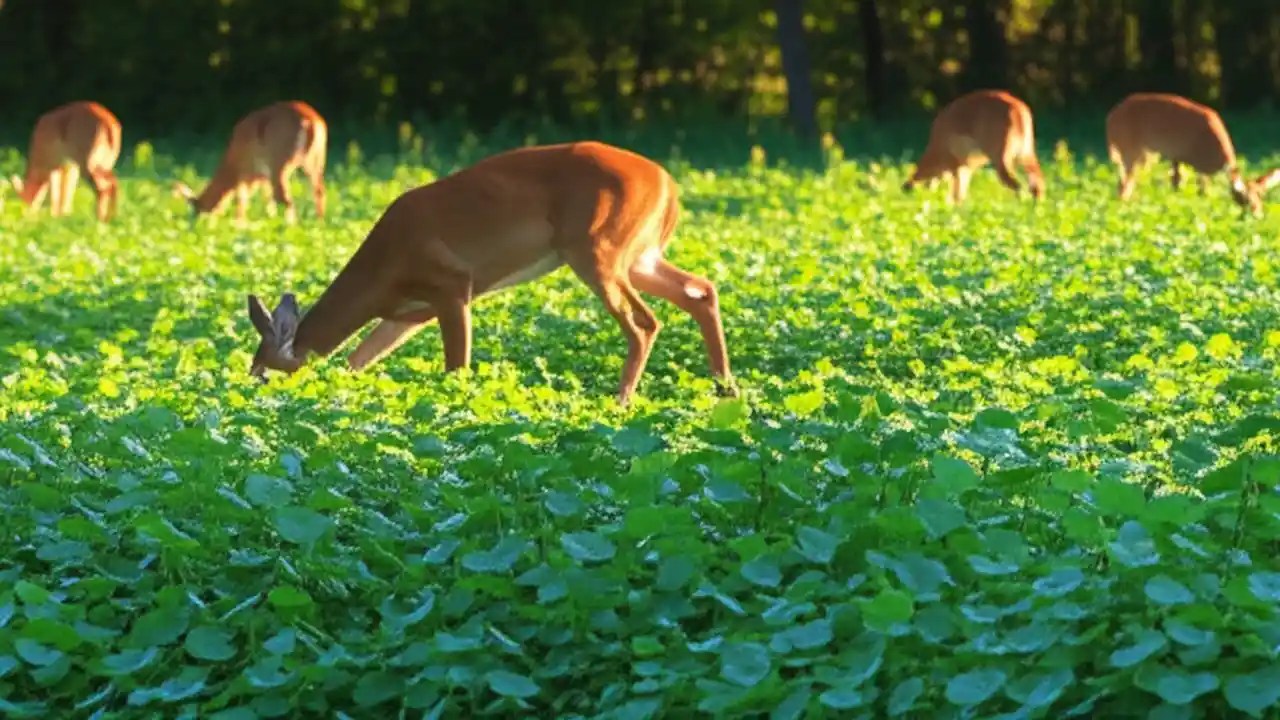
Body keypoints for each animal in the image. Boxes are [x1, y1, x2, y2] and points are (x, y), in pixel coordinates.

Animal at [173, 100, 327, 224]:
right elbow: (266, 201)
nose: (196, 225)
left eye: (196, 212)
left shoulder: (246, 172)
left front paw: (240, 224)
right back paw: (319, 225)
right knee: (319, 192)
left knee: (286, 199)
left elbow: (242, 199)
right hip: (316, 160)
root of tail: (310, 120)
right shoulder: (261, 176)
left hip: (280, 163)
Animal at [244, 141, 736, 406]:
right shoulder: (409, 313)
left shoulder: (453, 286)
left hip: (597, 250)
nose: (251, 390)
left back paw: (621, 401)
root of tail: (669, 184)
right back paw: (726, 389)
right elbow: (357, 361)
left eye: (264, 372)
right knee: (701, 291)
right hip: (640, 255)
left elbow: (456, 367)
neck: (385, 267)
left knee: (645, 321)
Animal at [902, 89, 1044, 205]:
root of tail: (1018, 109)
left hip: (1001, 156)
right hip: (1026, 153)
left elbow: (955, 197)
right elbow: (959, 196)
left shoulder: (956, 166)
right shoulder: (965, 168)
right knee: (1038, 184)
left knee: (1018, 185)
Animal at [1105, 92, 1280, 217]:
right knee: (1125, 182)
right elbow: (1200, 190)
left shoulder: (1180, 158)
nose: (1257, 215)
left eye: (1262, 196)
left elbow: (1178, 183)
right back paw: (1123, 207)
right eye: (1246, 200)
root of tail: (1111, 117)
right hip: (1130, 148)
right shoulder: (1191, 158)